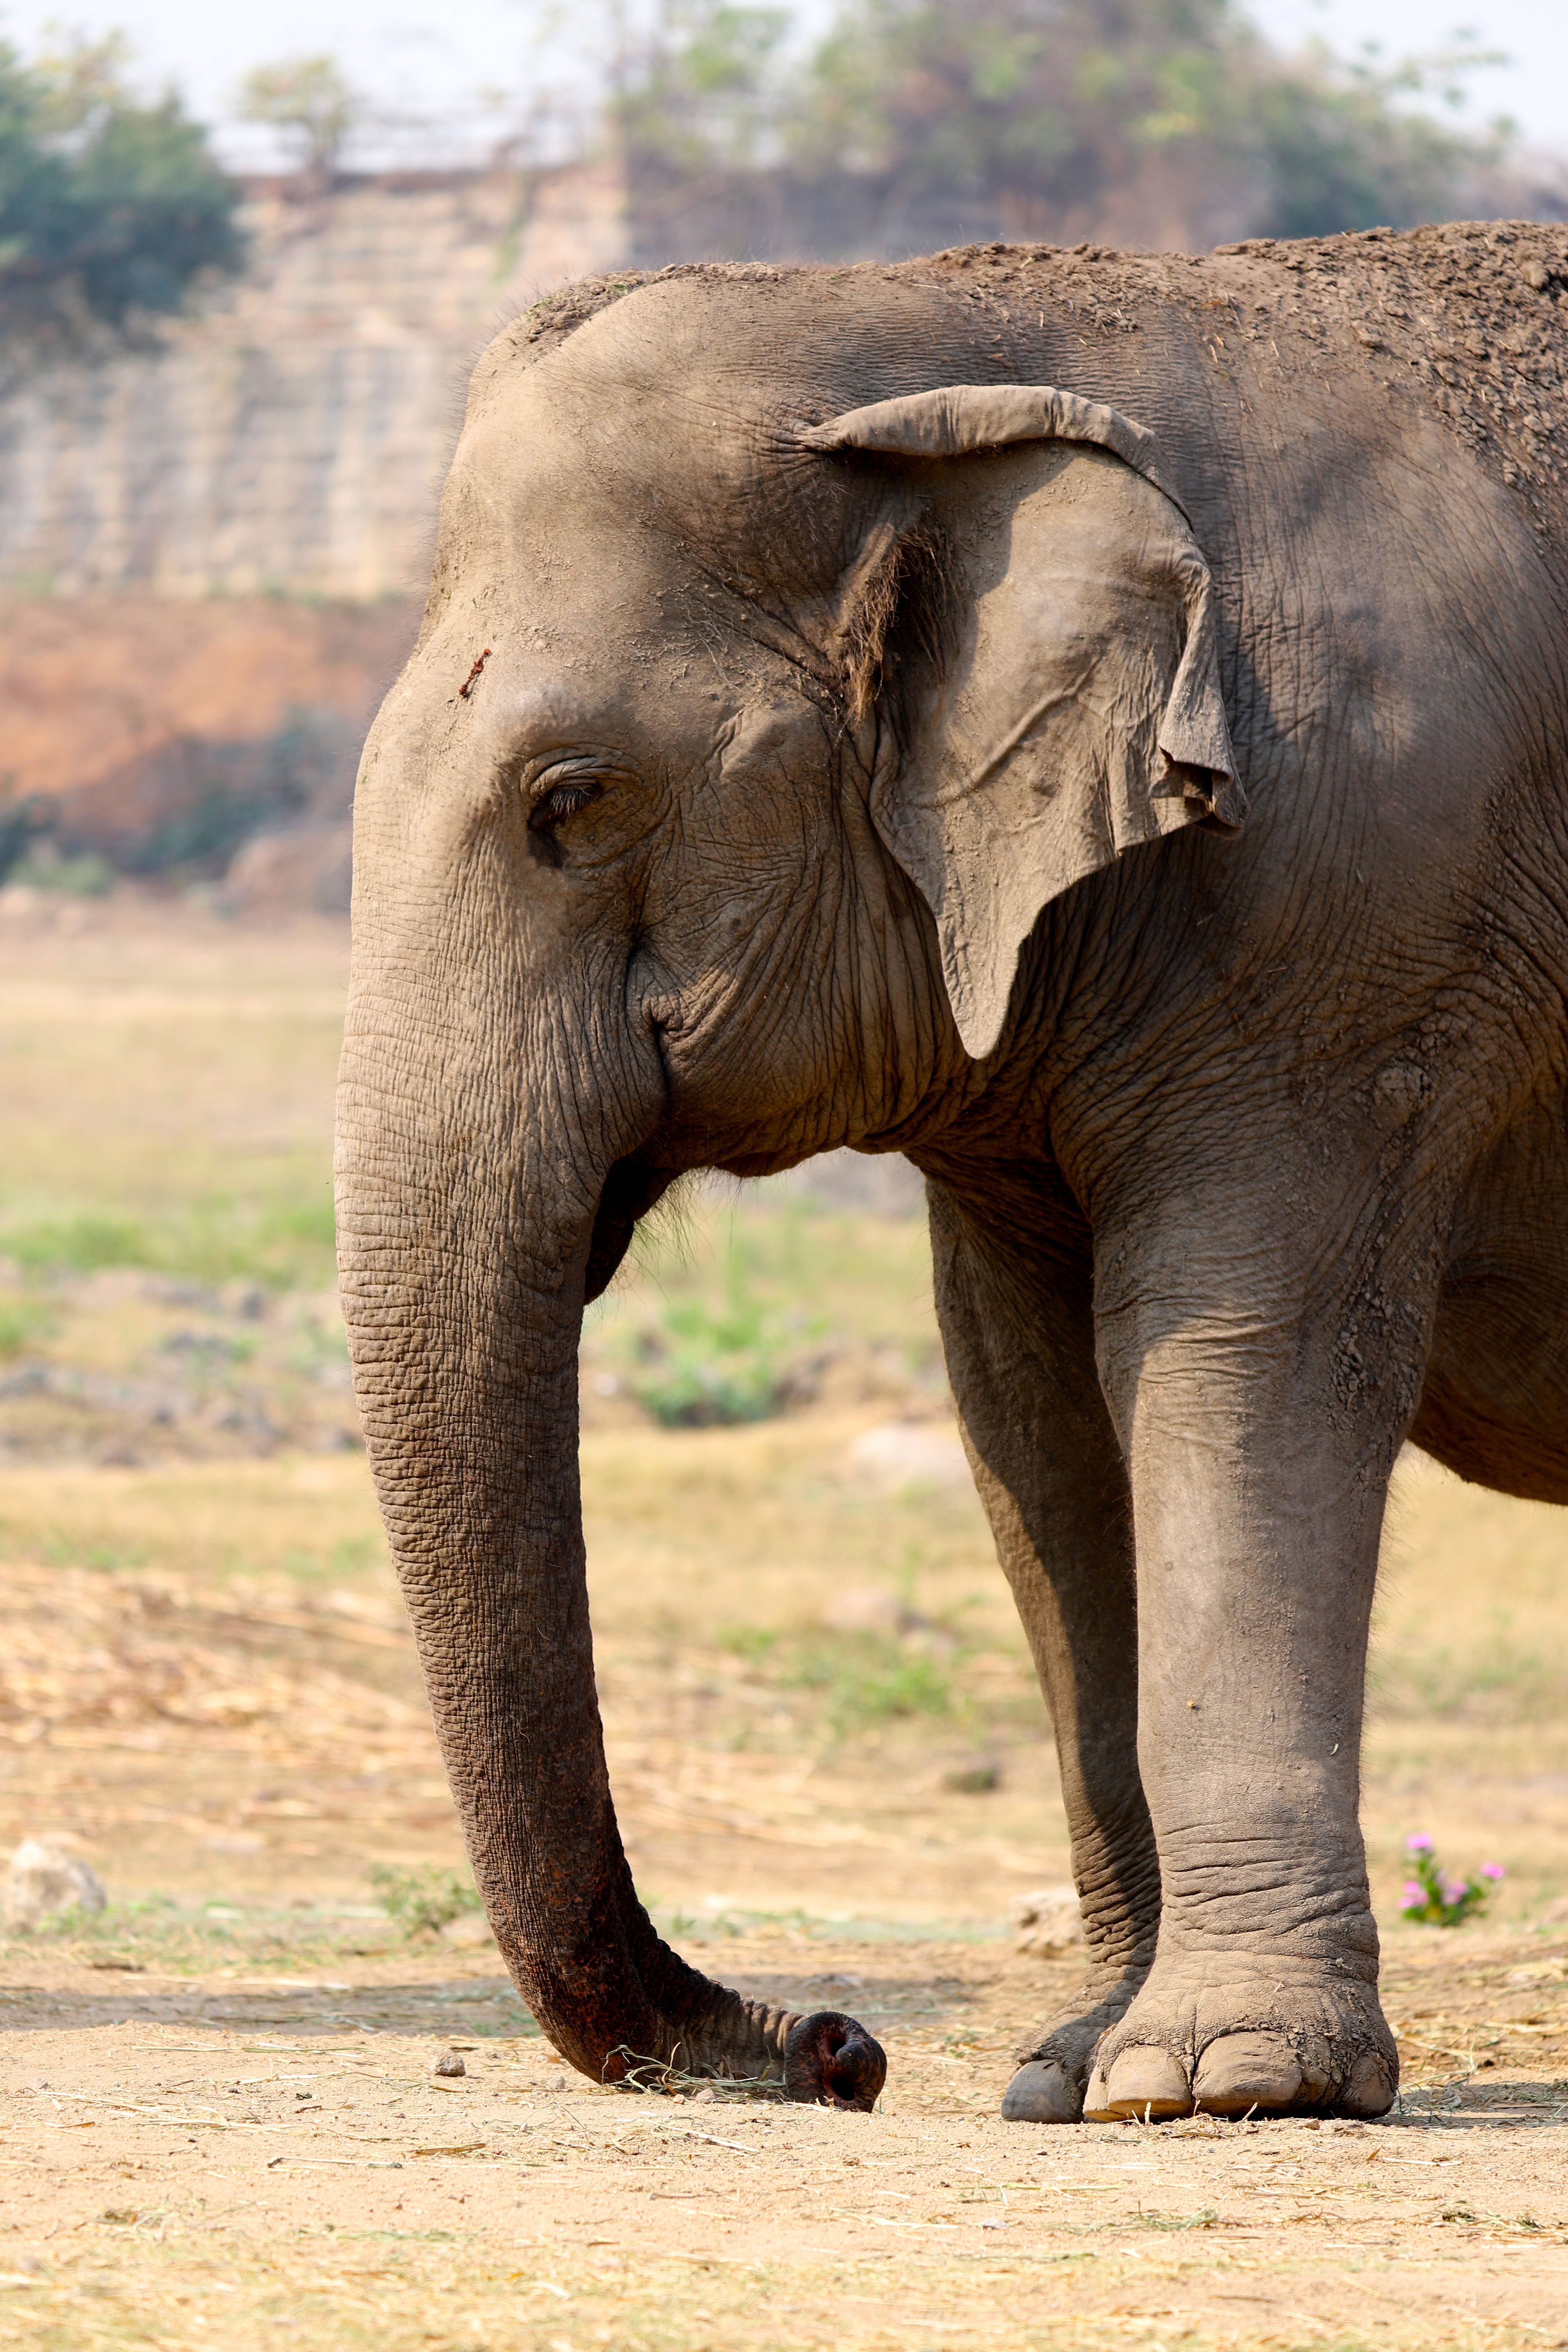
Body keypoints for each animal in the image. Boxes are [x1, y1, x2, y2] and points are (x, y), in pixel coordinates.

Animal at [336, 221, 1568, 2121]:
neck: (933, 339)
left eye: (572, 801)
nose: (839, 2043)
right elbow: (1032, 1413)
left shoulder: (1366, 926)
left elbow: (1237, 1360)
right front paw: (1072, 2073)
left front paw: (1217, 2081)